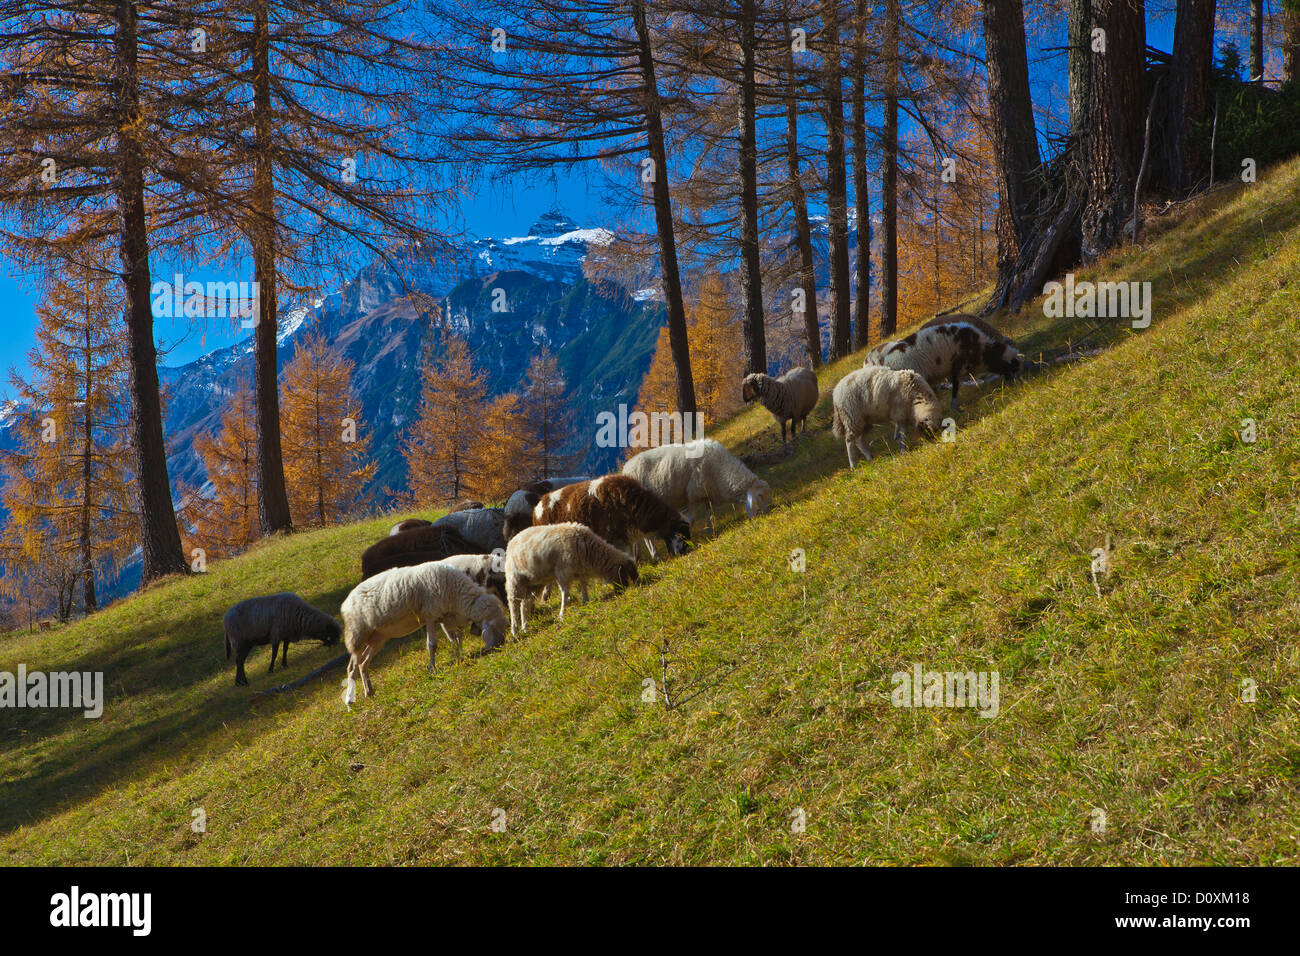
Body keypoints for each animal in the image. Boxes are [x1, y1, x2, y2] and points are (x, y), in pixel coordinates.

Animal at [342, 562, 509, 699]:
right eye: (494, 627)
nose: (500, 645)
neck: (456, 592)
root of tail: (346, 603)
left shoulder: (445, 617)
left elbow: (456, 639)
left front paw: (459, 657)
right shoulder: (430, 615)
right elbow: (432, 644)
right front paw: (432, 669)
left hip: (377, 636)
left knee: (363, 662)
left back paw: (369, 691)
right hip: (356, 634)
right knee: (351, 667)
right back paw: (350, 701)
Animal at [503, 522, 638, 635]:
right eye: (625, 573)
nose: (624, 591)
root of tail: (511, 542)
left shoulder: (579, 570)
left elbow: (583, 584)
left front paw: (585, 600)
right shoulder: (563, 572)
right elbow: (565, 593)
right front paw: (562, 614)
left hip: (535, 582)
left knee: (525, 604)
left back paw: (525, 628)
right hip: (515, 580)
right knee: (513, 604)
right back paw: (515, 631)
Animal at [622, 438, 771, 535]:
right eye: (759, 495)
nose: (769, 511)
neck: (720, 469)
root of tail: (625, 469)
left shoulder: (705, 493)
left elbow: (708, 512)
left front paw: (710, 530)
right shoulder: (693, 493)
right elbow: (692, 517)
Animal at [865, 316, 1023, 414]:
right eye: (1013, 364)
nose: (1018, 382)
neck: (983, 350)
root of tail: (886, 362)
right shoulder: (958, 366)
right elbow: (955, 387)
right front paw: (955, 408)